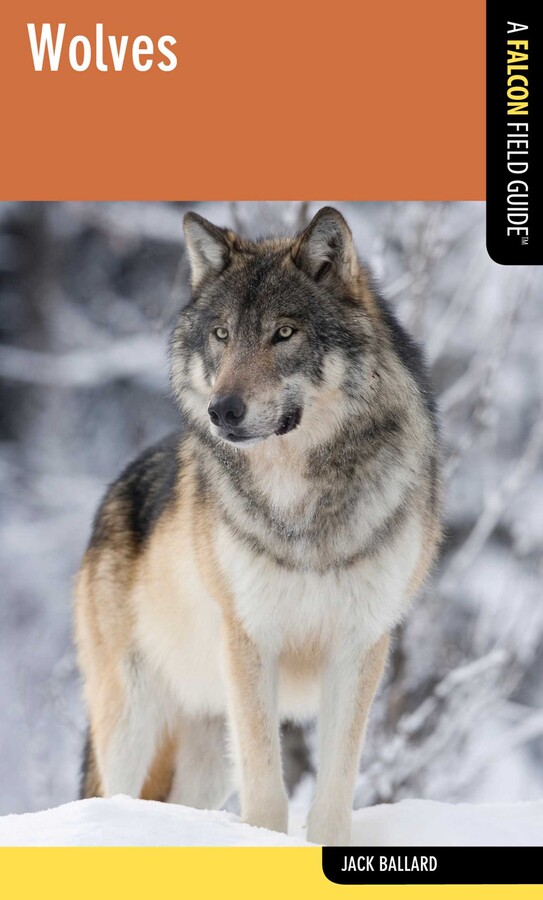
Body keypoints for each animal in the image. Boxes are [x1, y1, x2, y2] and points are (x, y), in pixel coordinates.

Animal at [75, 206, 441, 845]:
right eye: (222, 335)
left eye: (284, 333)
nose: (223, 411)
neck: (302, 503)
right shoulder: (251, 642)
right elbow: (267, 789)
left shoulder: (359, 647)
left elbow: (335, 789)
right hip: (131, 720)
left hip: (203, 750)